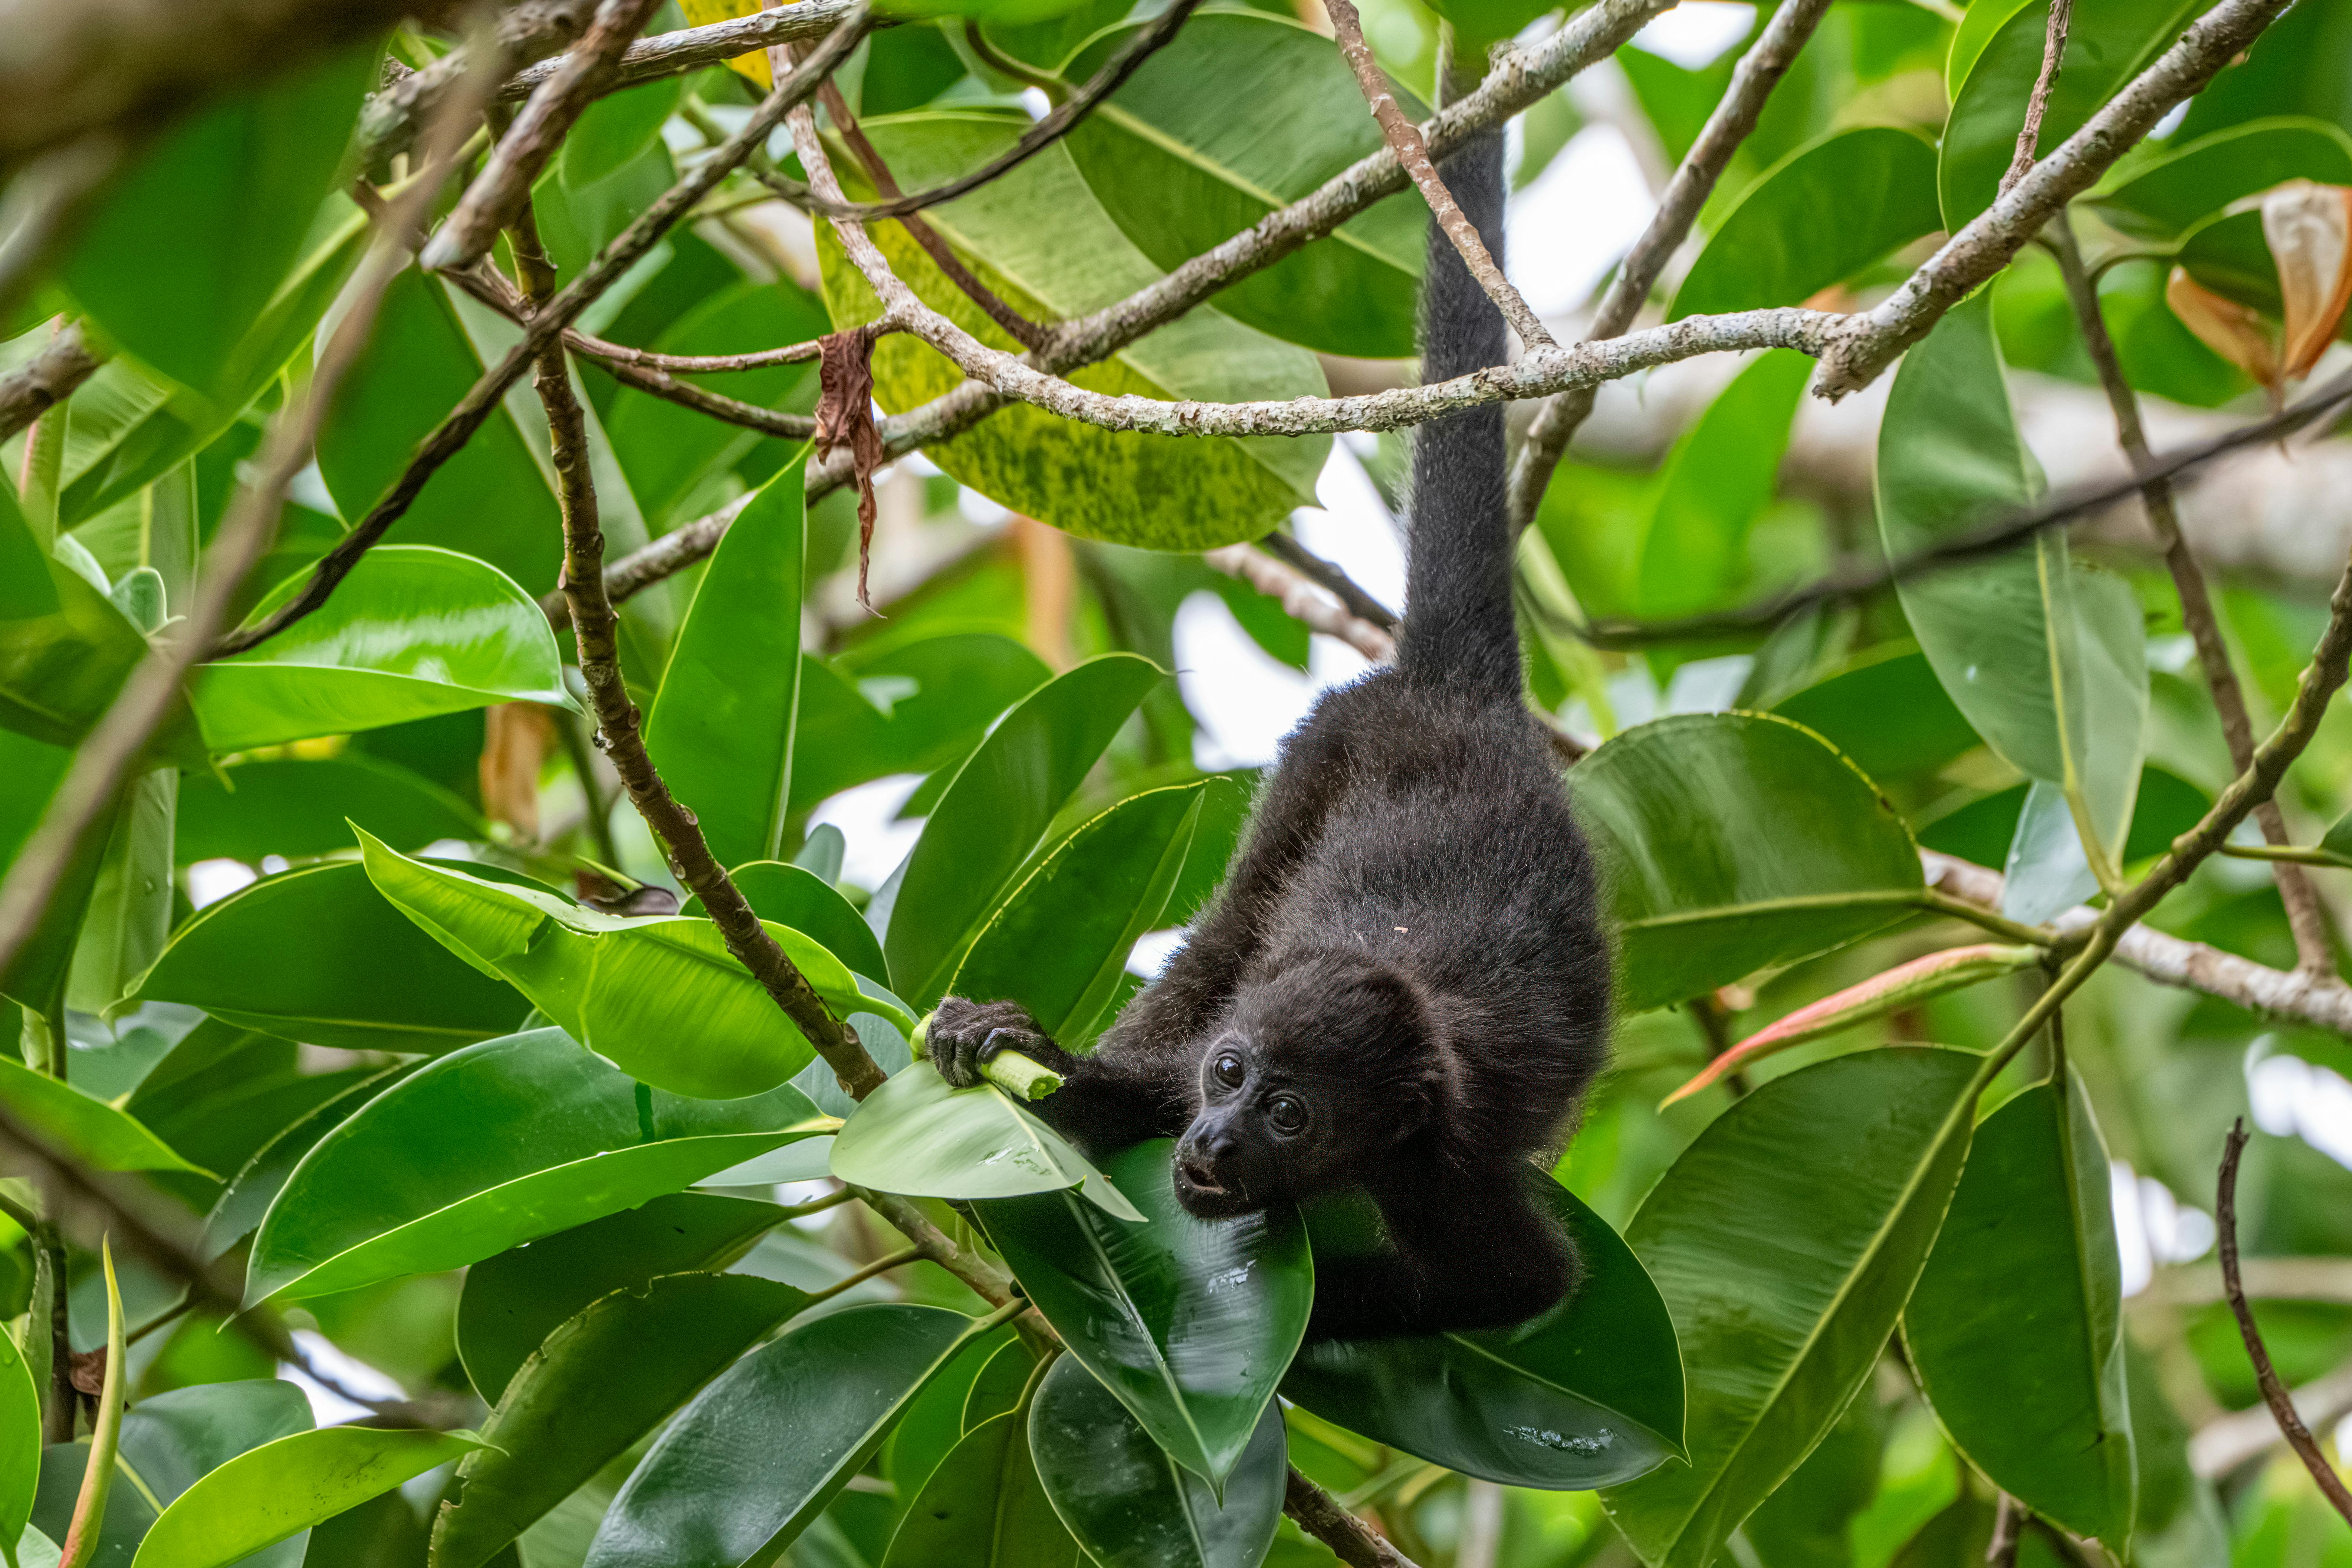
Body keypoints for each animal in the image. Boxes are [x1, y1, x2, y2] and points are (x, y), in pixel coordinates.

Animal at [925, 118, 1610, 1342]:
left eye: (1288, 1113)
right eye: (1232, 1075)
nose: (1213, 1138)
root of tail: (1451, 689)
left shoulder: (1442, 1172)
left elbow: (1518, 1282)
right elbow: (1141, 1080)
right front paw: (1021, 1050)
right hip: (1326, 746)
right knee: (1232, 924)